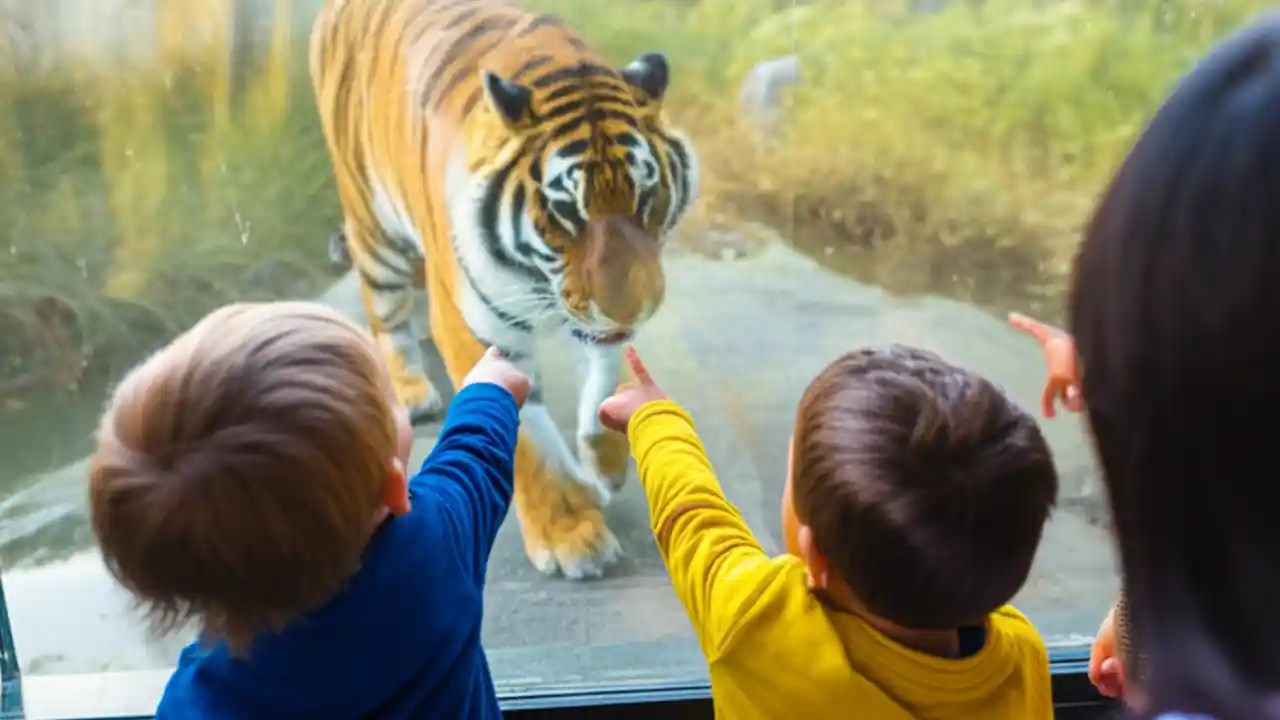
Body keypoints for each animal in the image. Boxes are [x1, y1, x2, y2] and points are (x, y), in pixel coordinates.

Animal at [310, 0, 698, 579]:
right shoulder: (483, 335)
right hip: (374, 226)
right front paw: (571, 536)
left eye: (646, 198)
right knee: (385, 310)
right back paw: (410, 388)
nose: (634, 309)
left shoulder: (594, 317)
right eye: (565, 212)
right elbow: (527, 444)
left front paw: (604, 462)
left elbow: (607, 370)